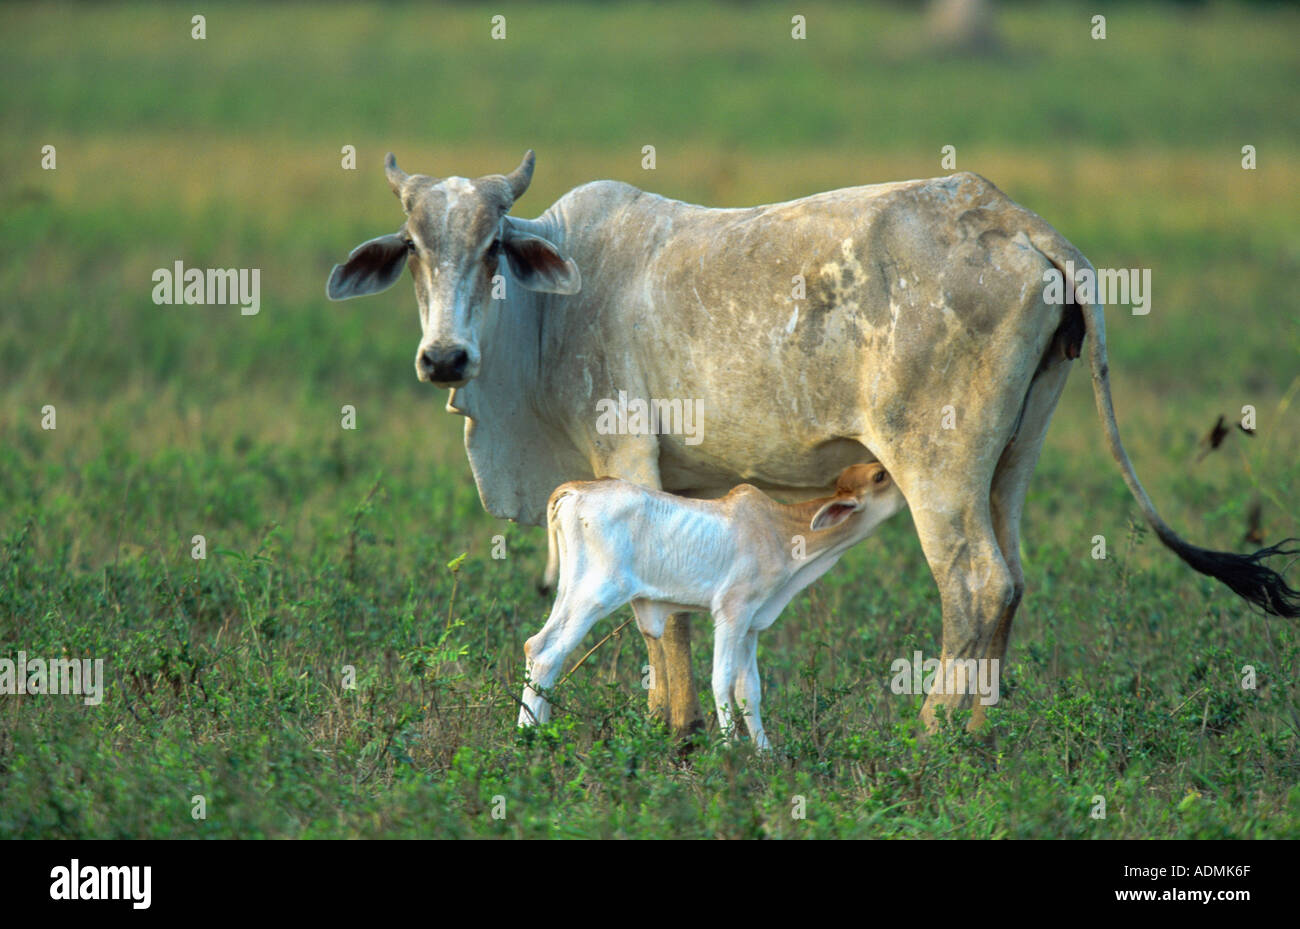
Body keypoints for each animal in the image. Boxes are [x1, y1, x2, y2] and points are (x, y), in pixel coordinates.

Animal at [326, 150, 1299, 736]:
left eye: (493, 243)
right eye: (412, 248)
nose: (444, 357)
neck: (546, 311)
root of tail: (1016, 220)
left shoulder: (626, 451)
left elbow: (658, 615)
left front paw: (675, 730)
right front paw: (669, 720)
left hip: (937, 466)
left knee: (976, 584)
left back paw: (935, 736)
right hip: (1012, 460)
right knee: (1015, 581)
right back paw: (986, 733)